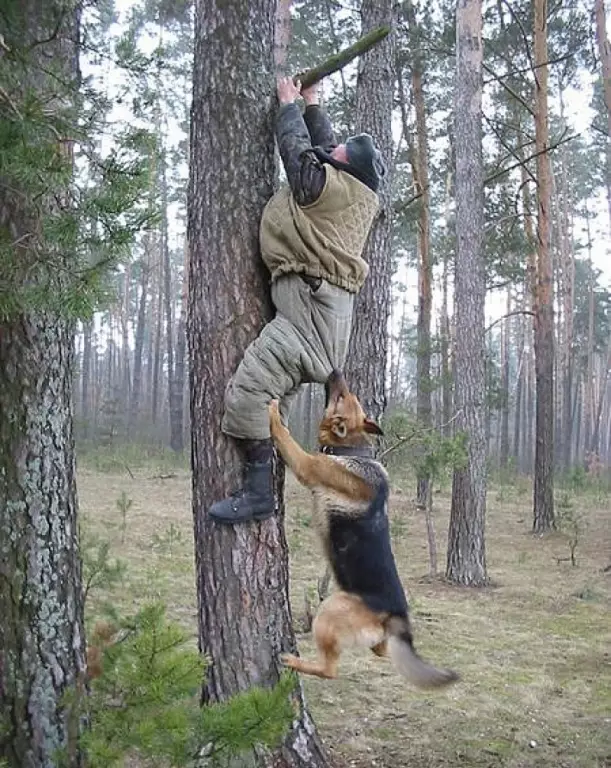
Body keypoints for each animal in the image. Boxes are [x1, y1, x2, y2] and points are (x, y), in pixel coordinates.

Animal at [268, 368, 460, 688]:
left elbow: (285, 437)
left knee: (330, 669)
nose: (335, 371)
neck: (351, 448)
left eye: (342, 397)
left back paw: (294, 661)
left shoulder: (307, 464)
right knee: (380, 650)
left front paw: (272, 413)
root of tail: (395, 614)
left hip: (329, 611)